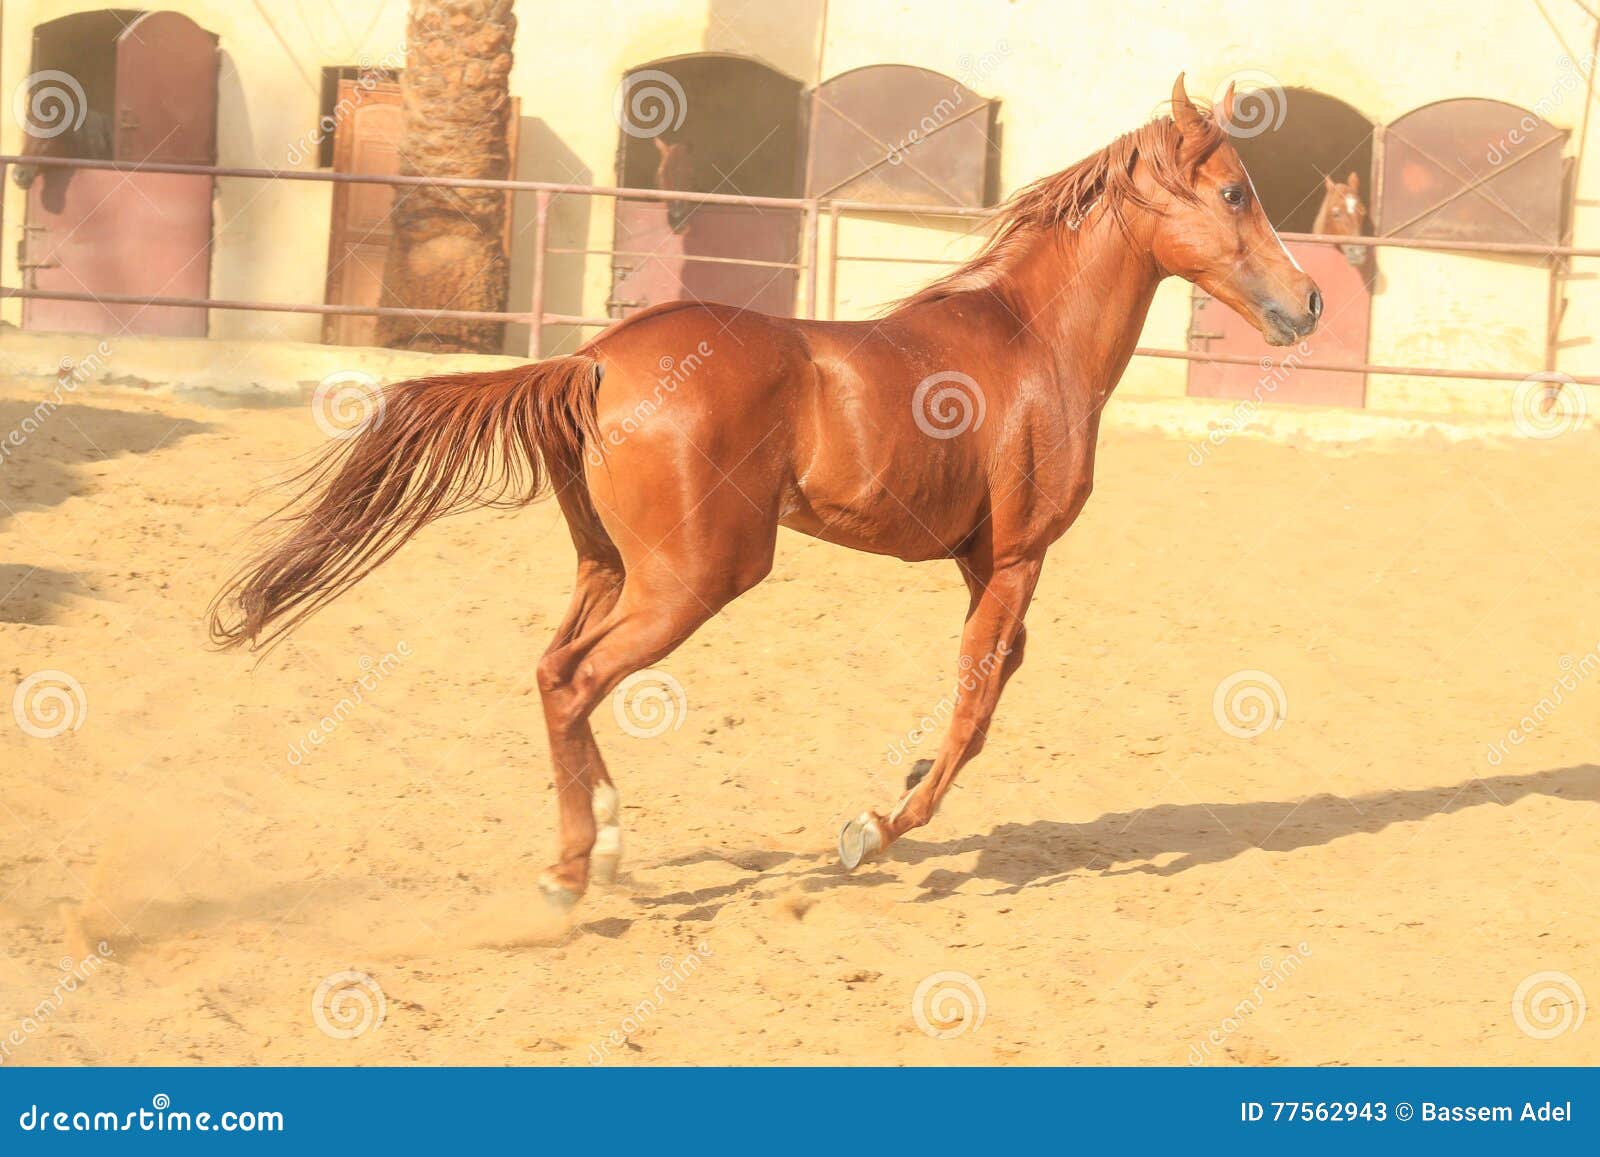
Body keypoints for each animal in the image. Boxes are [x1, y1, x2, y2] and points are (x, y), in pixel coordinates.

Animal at [210, 74, 1322, 912]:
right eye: (1235, 193)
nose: (1307, 301)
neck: (1029, 340)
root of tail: (595, 361)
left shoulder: (981, 561)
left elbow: (992, 683)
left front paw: (897, 790)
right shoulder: (1015, 555)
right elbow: (976, 702)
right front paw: (872, 828)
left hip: (609, 566)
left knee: (554, 668)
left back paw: (605, 841)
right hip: (697, 578)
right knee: (575, 681)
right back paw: (574, 872)